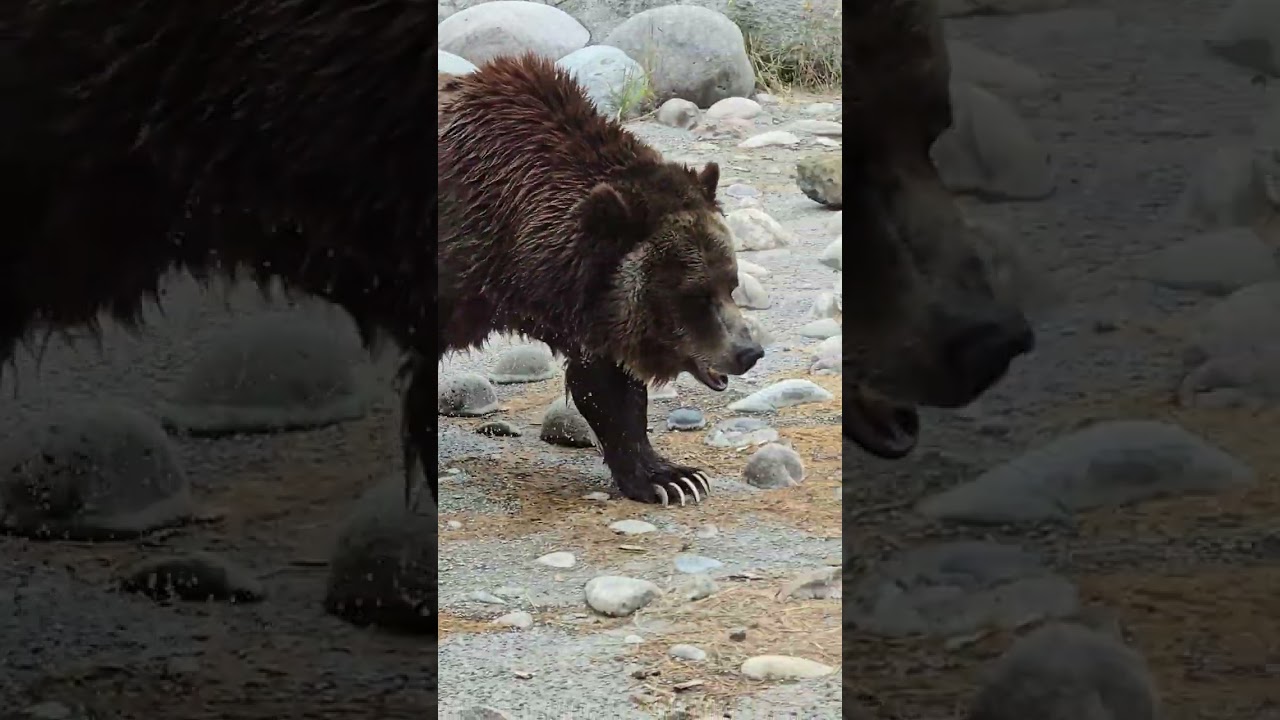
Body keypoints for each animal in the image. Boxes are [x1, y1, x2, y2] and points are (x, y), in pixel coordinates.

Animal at [437, 55, 765, 506]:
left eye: (731, 284)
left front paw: (672, 478)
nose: (748, 351)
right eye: (695, 294)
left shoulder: (592, 310)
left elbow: (609, 390)